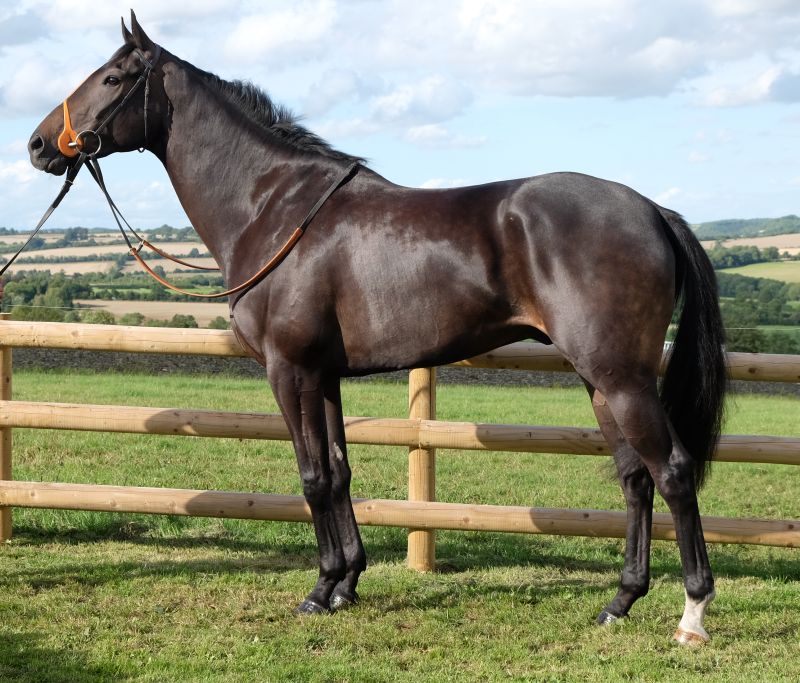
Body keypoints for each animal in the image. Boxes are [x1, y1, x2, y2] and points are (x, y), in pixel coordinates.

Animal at [28, 12, 726, 645]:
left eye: (113, 77)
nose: (37, 145)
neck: (272, 206)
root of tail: (652, 210)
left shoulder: (289, 370)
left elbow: (312, 476)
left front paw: (319, 591)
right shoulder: (324, 375)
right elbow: (339, 472)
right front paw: (346, 584)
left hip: (621, 377)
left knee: (673, 471)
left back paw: (692, 614)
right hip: (599, 379)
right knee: (635, 478)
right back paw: (620, 603)